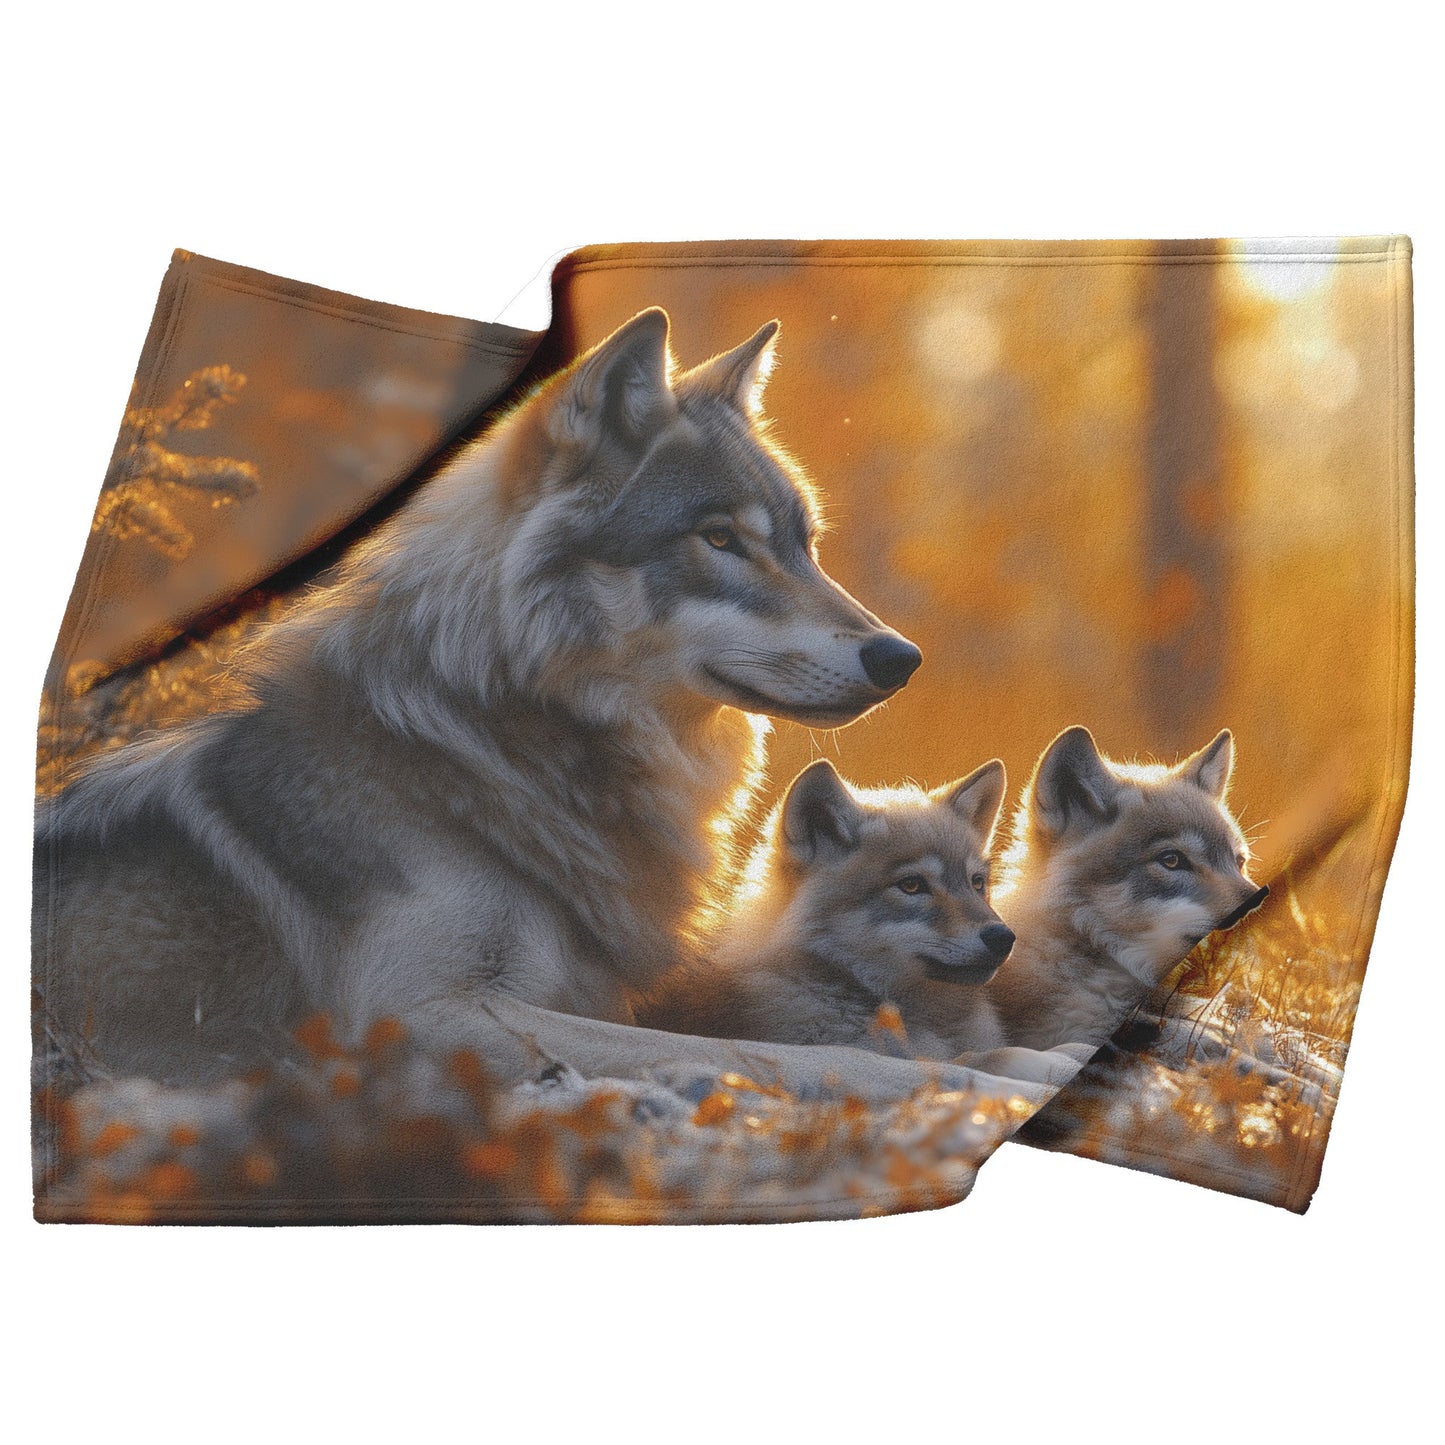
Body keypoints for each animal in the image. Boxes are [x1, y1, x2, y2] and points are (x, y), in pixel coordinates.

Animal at [37, 307, 1031, 1105]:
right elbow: (795, 1053)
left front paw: (1027, 1061)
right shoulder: (421, 1012)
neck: (487, 752)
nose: (899, 656)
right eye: (718, 539)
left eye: (803, 545)